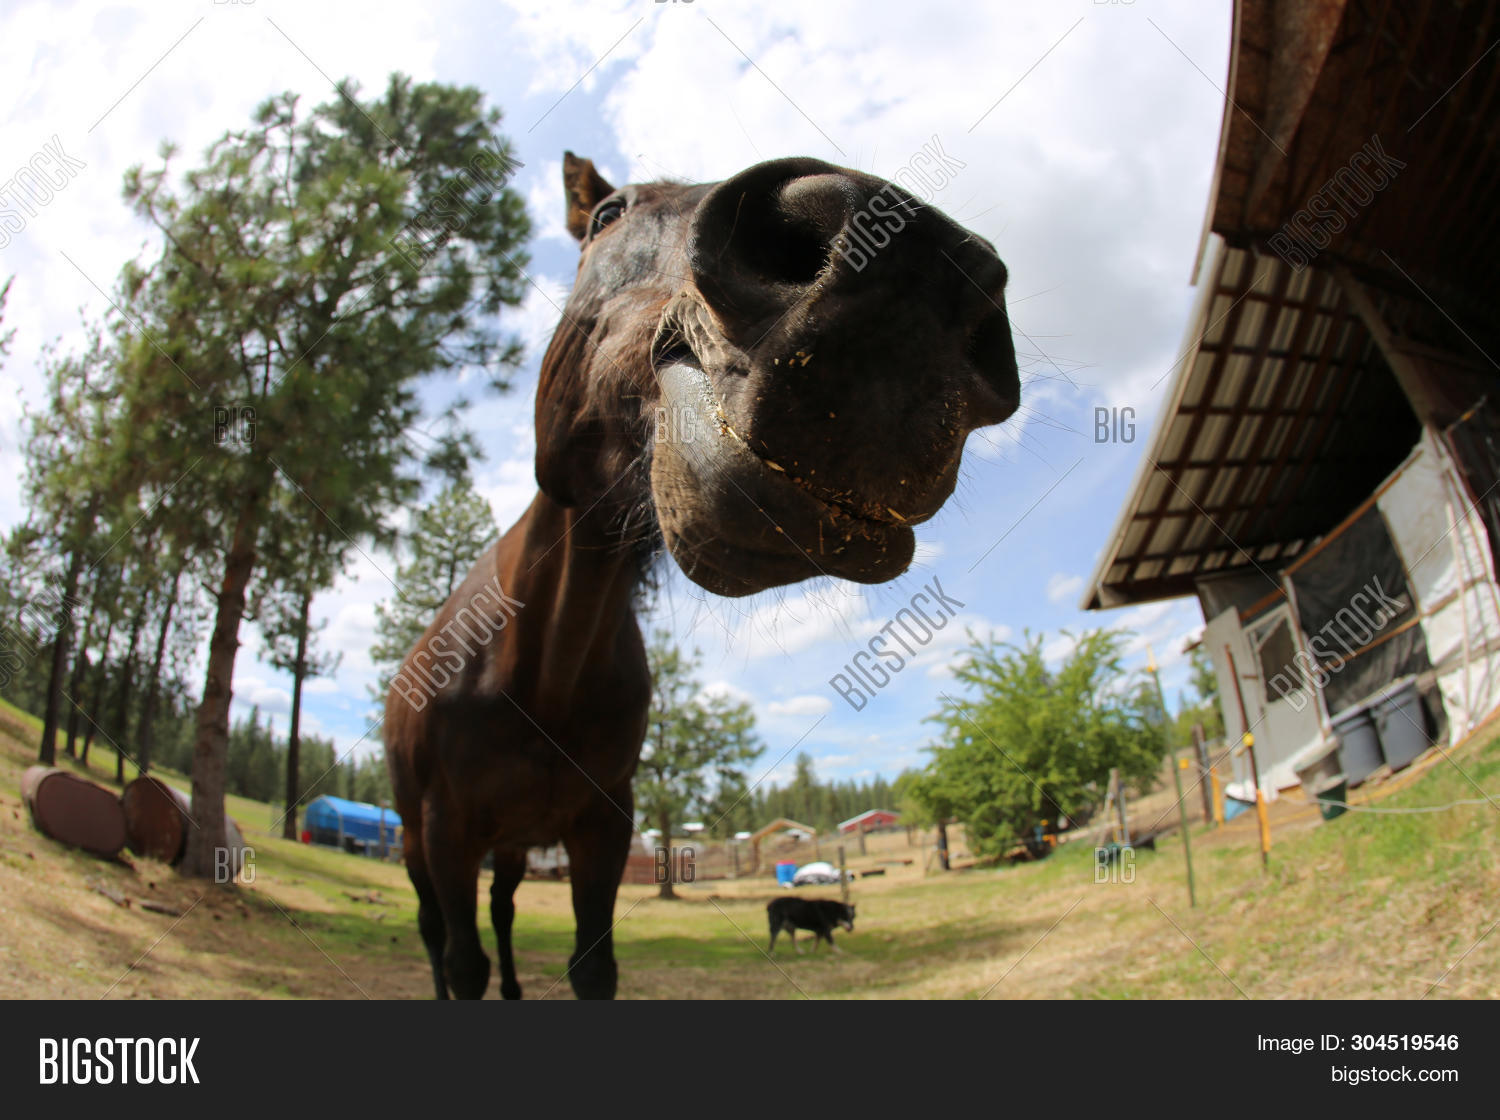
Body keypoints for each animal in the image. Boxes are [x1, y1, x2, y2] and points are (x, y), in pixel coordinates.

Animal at [384, 152, 1020, 999]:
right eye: (605, 216)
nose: (905, 274)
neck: (540, 670)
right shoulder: (445, 828)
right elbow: (461, 961)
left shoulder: (601, 829)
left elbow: (591, 966)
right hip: (420, 843)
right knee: (439, 935)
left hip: (512, 847)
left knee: (507, 912)